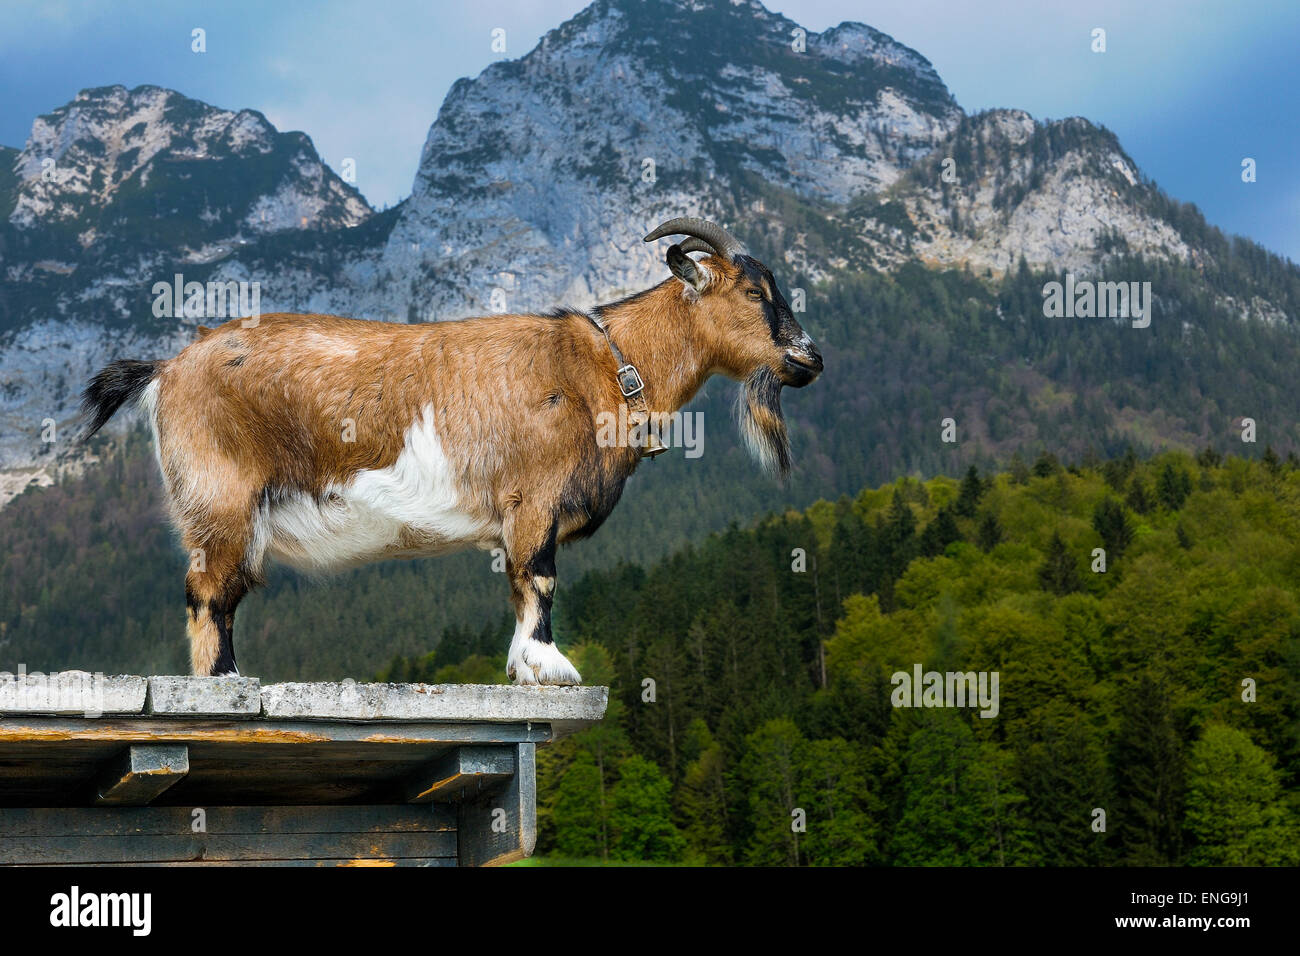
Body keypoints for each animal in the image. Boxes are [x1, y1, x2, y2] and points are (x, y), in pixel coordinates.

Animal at [81, 218, 826, 681]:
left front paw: (522, 665)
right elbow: (539, 579)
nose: (809, 358)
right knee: (209, 593)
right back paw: (228, 683)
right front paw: (550, 665)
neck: (603, 366)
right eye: (754, 292)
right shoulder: (535, 498)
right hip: (221, 500)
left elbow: (517, 585)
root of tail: (167, 367)